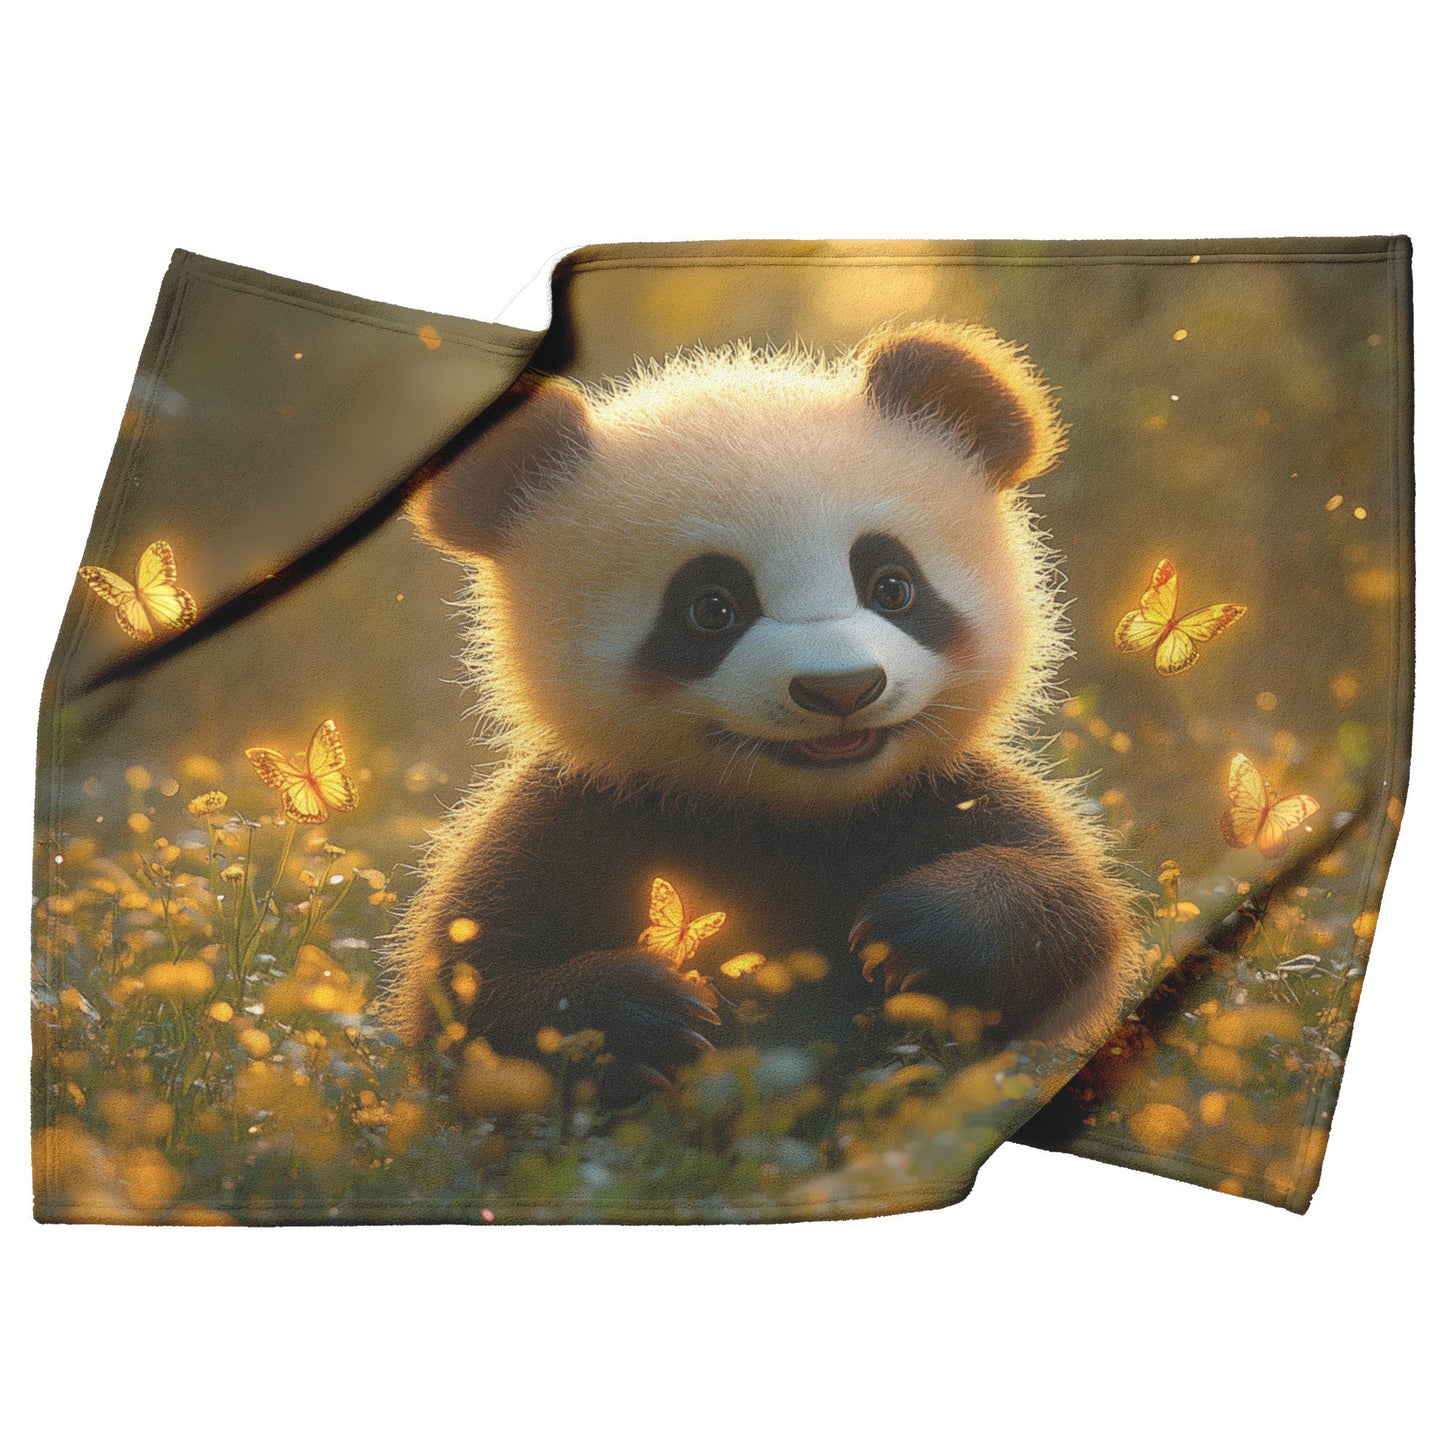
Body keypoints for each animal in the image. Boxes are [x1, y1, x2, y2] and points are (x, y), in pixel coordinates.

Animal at [387, 321, 1138, 1096]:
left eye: (891, 585)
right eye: (711, 608)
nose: (841, 689)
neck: (790, 817)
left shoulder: (936, 791)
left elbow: (1084, 922)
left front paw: (916, 934)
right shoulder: (583, 811)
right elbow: (463, 998)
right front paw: (644, 1014)